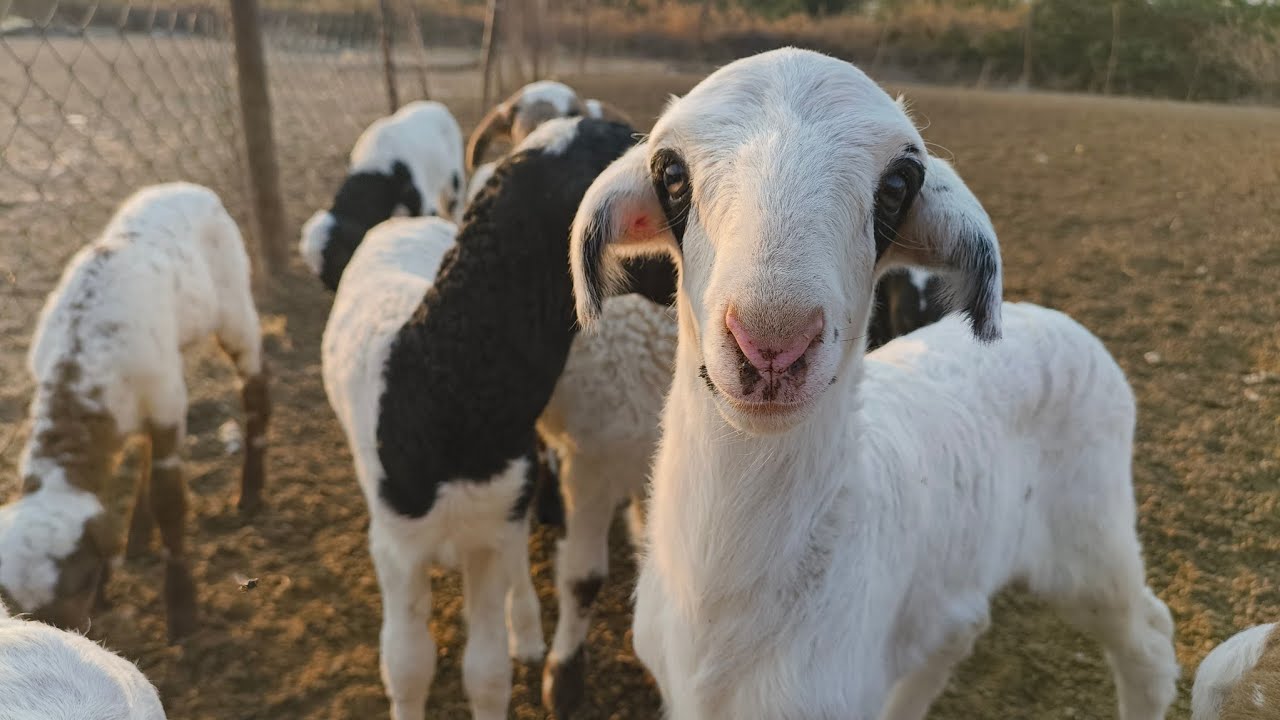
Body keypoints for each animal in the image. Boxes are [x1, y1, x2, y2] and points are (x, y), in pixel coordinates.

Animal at [0, 182, 268, 642]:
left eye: (81, 581)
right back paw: (139, 535)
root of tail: (185, 186)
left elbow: (169, 497)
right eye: (15, 606)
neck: (83, 360)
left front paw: (182, 610)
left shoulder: (166, 401)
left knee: (255, 380)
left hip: (234, 298)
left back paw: (250, 491)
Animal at [300, 100, 465, 291]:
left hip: (454, 177)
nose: (340, 288)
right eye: (320, 275)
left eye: (338, 258)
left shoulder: (423, 206)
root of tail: (432, 104)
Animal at [320, 117, 645, 720]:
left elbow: (487, 673)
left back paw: (528, 631)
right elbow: (407, 664)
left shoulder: (493, 528)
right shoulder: (397, 548)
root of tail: (402, 224)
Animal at [568, 47, 1179, 720]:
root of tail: (1052, 318)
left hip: (1092, 540)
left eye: (896, 185)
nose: (773, 340)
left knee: (1148, 637)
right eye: (672, 173)